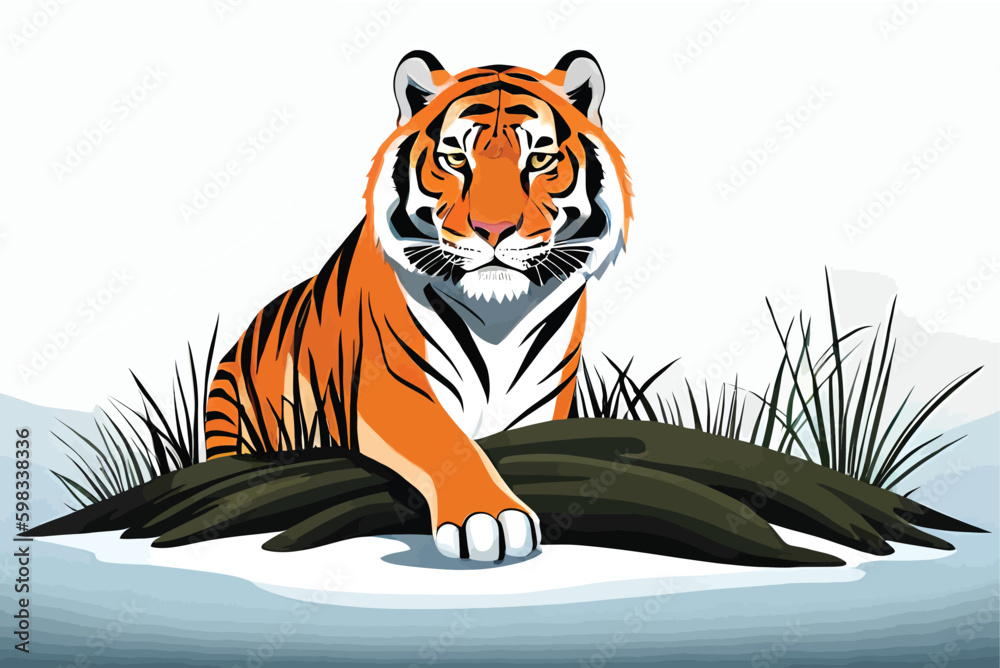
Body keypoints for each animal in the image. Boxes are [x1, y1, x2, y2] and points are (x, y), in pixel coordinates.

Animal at [205, 50, 633, 562]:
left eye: (539, 159)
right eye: (456, 159)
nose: (494, 229)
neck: (498, 317)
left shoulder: (542, 400)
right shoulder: (390, 386)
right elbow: (449, 443)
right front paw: (488, 517)